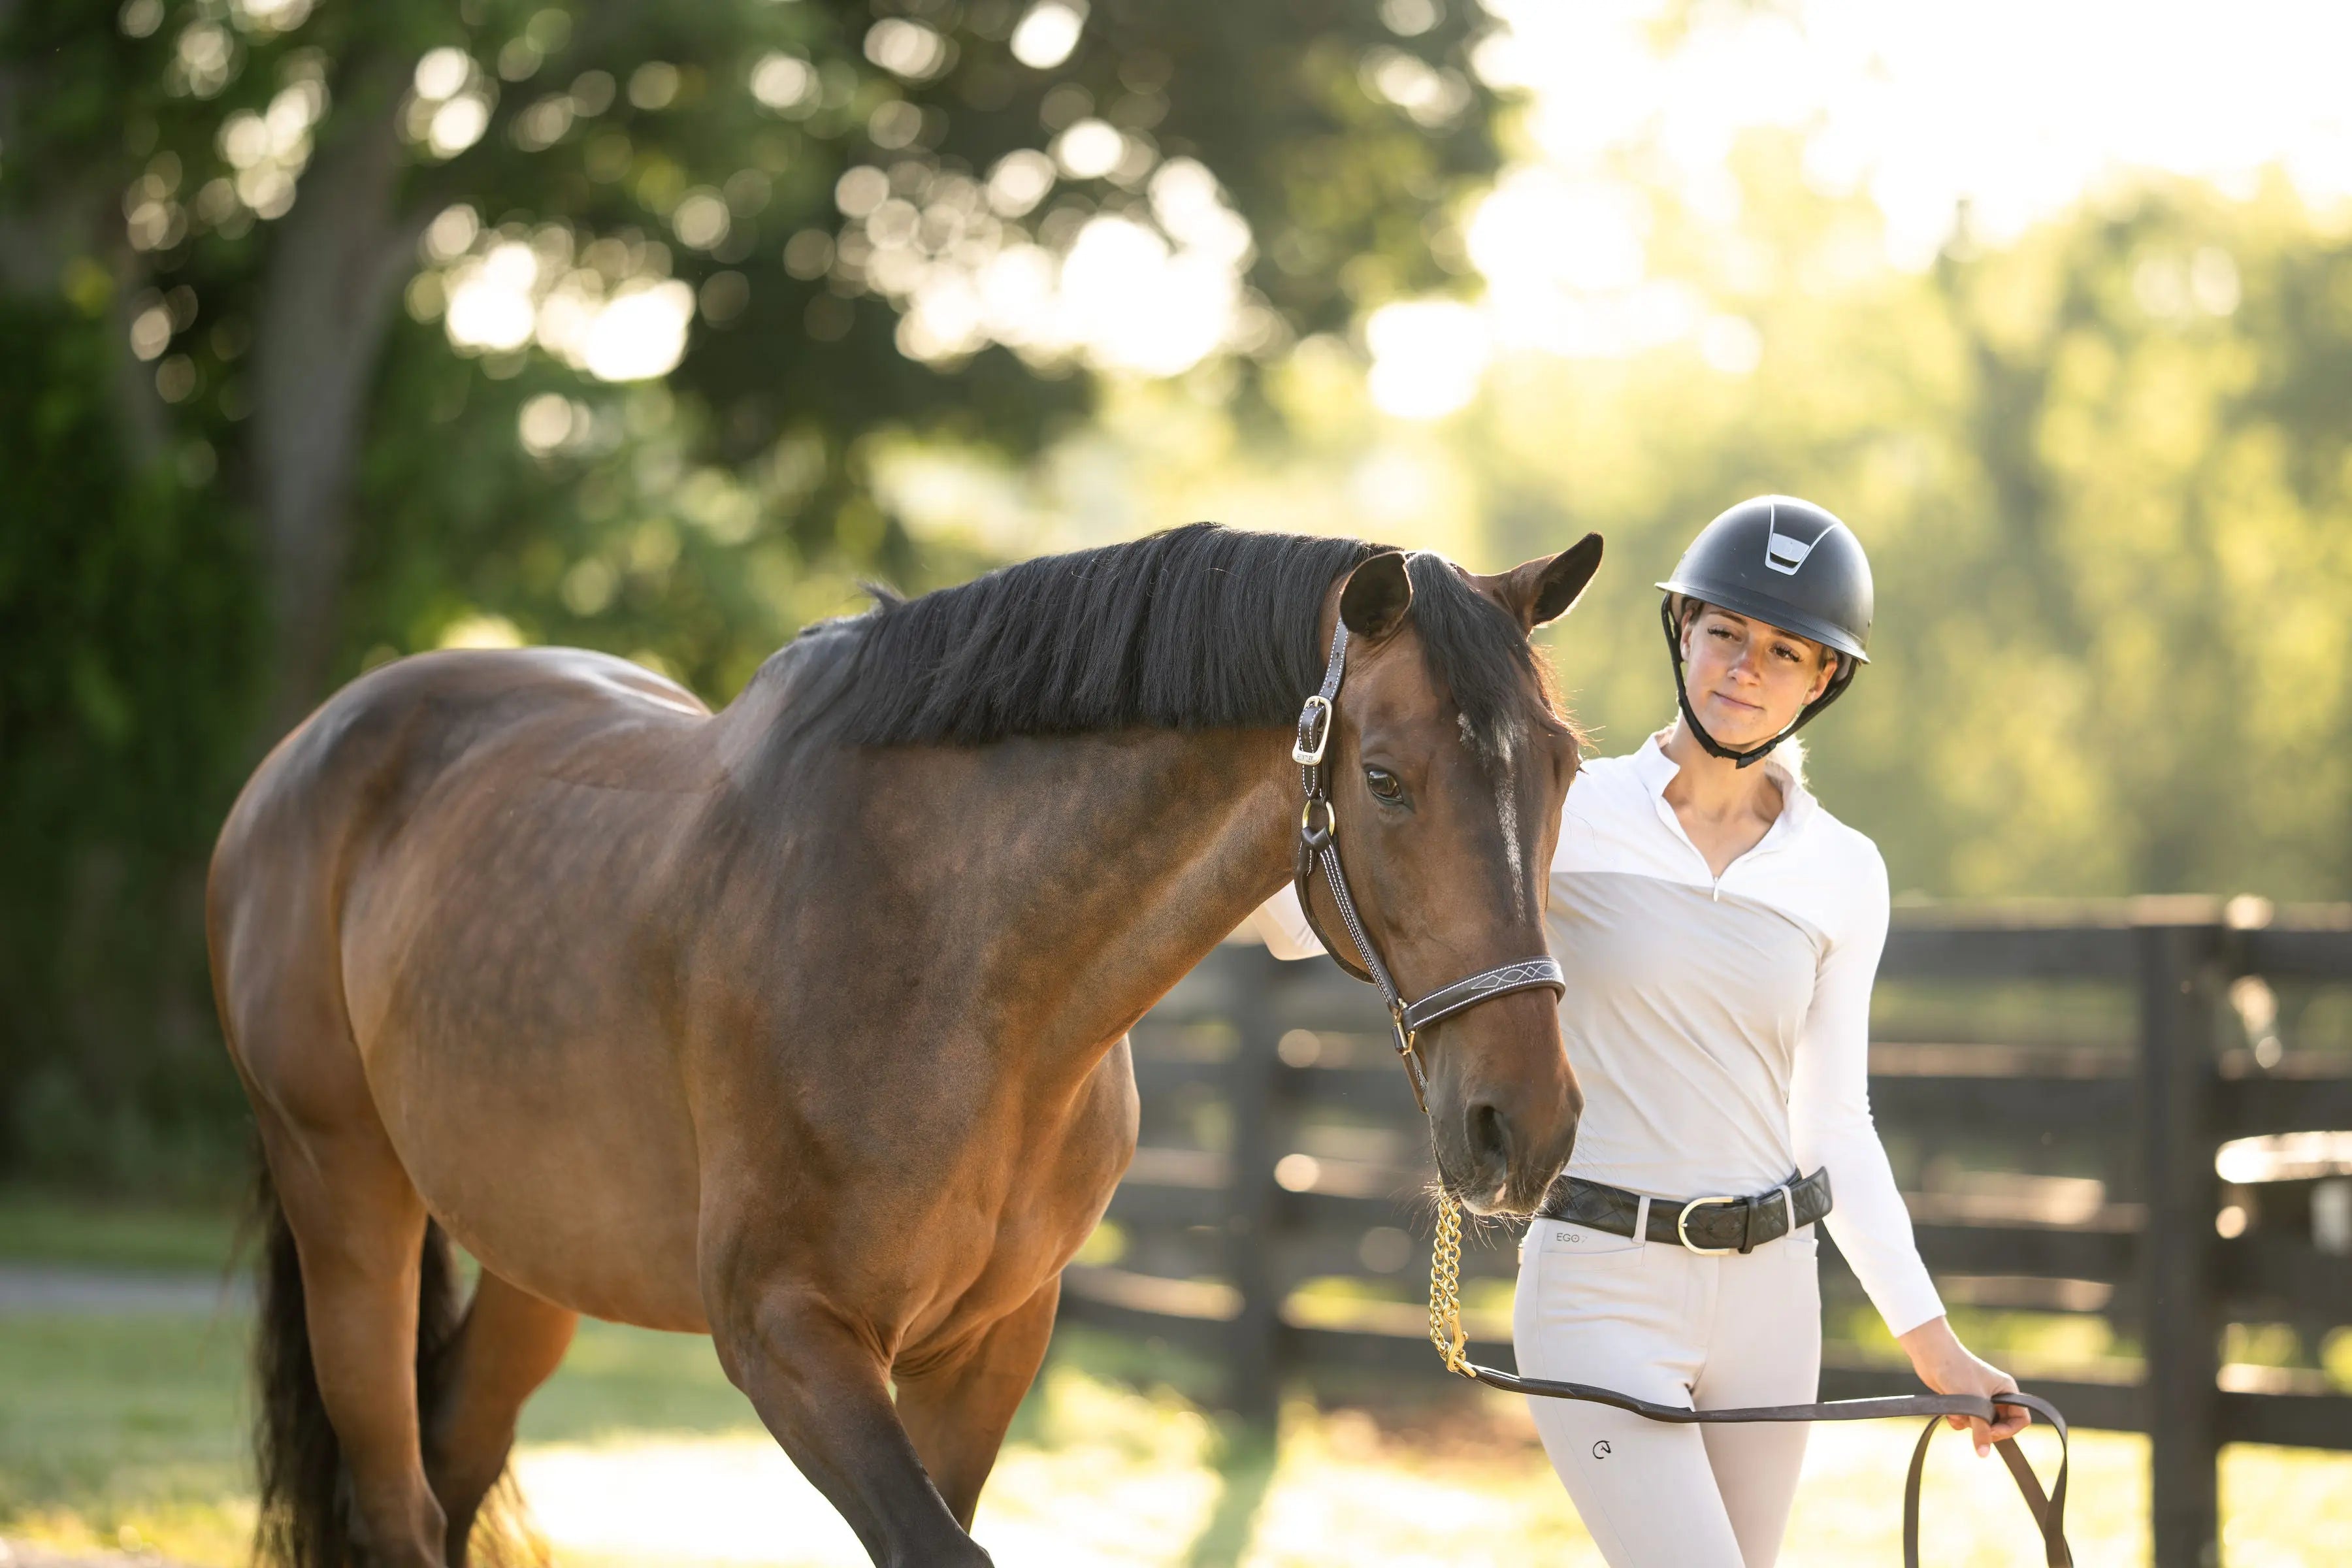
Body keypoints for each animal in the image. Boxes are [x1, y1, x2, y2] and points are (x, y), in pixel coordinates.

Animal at [207, 522, 1604, 1567]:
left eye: (1563, 771)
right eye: (1383, 780)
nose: (1522, 1126)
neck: (967, 973)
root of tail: (305, 757)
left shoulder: (989, 1347)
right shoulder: (787, 1335)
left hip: (540, 1257)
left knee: (454, 1454)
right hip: (349, 1204)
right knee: (396, 1501)